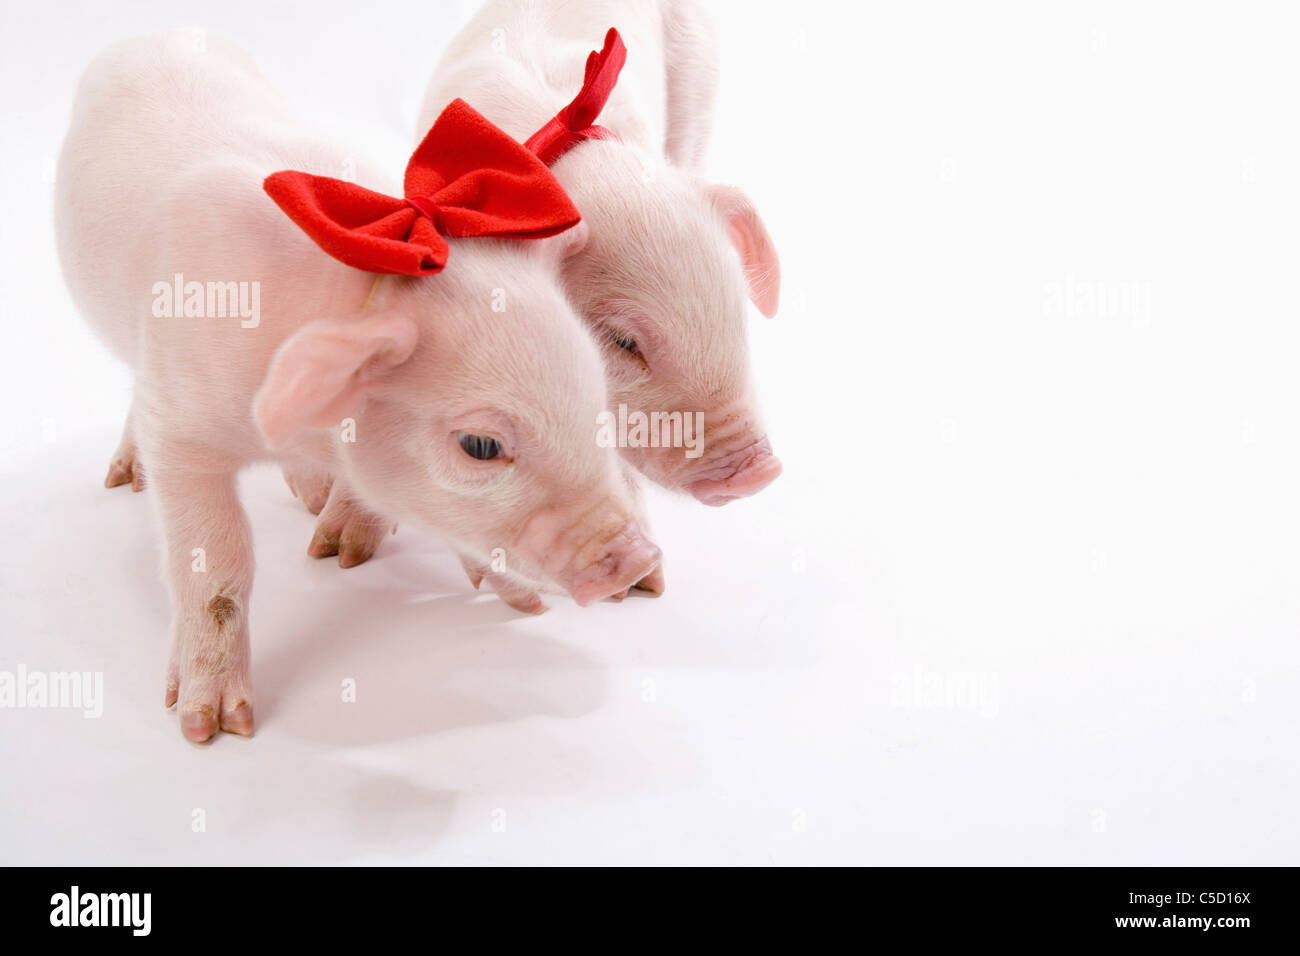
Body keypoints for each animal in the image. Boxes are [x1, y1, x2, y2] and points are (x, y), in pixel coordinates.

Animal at [56, 31, 661, 742]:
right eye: (480, 446)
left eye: (594, 400)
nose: (639, 557)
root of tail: (151, 33)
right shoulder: (183, 428)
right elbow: (218, 560)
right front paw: (215, 728)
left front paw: (349, 556)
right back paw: (125, 480)